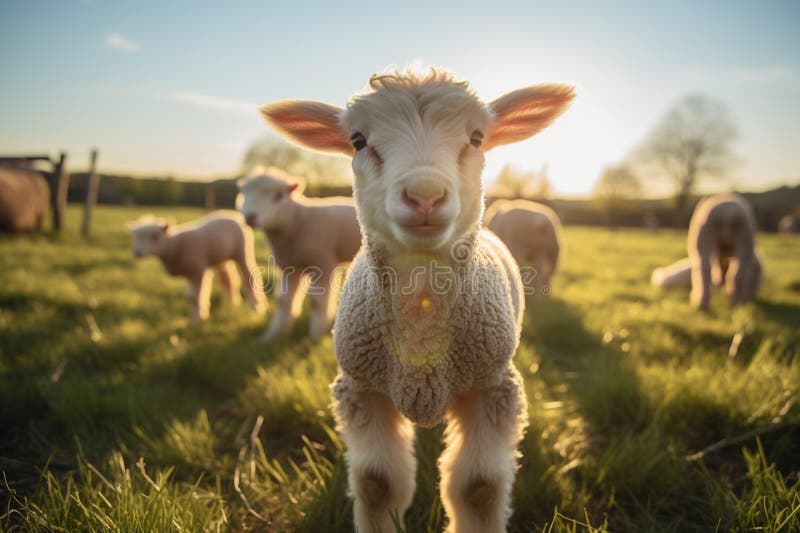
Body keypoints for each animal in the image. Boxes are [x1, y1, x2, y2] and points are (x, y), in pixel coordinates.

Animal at [127, 211, 266, 323]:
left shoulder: (198, 270)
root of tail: (234, 215)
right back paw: (232, 305)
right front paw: (194, 318)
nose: (137, 253)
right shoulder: (190, 274)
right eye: (135, 237)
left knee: (249, 278)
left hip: (242, 252)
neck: (175, 245)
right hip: (221, 259)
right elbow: (189, 298)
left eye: (155, 237)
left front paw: (198, 319)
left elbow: (194, 297)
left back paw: (256, 307)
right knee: (229, 281)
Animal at [237, 167, 361, 342]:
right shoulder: (289, 267)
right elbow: (283, 301)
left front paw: (316, 335)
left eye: (279, 196)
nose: (250, 217)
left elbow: (316, 301)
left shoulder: (323, 263)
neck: (298, 221)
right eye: (244, 194)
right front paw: (274, 335)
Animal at [260, 68, 574, 533]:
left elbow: (479, 488)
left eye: (477, 138)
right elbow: (376, 483)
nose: (425, 195)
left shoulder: (491, 390)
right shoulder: (363, 390)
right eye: (357, 140)